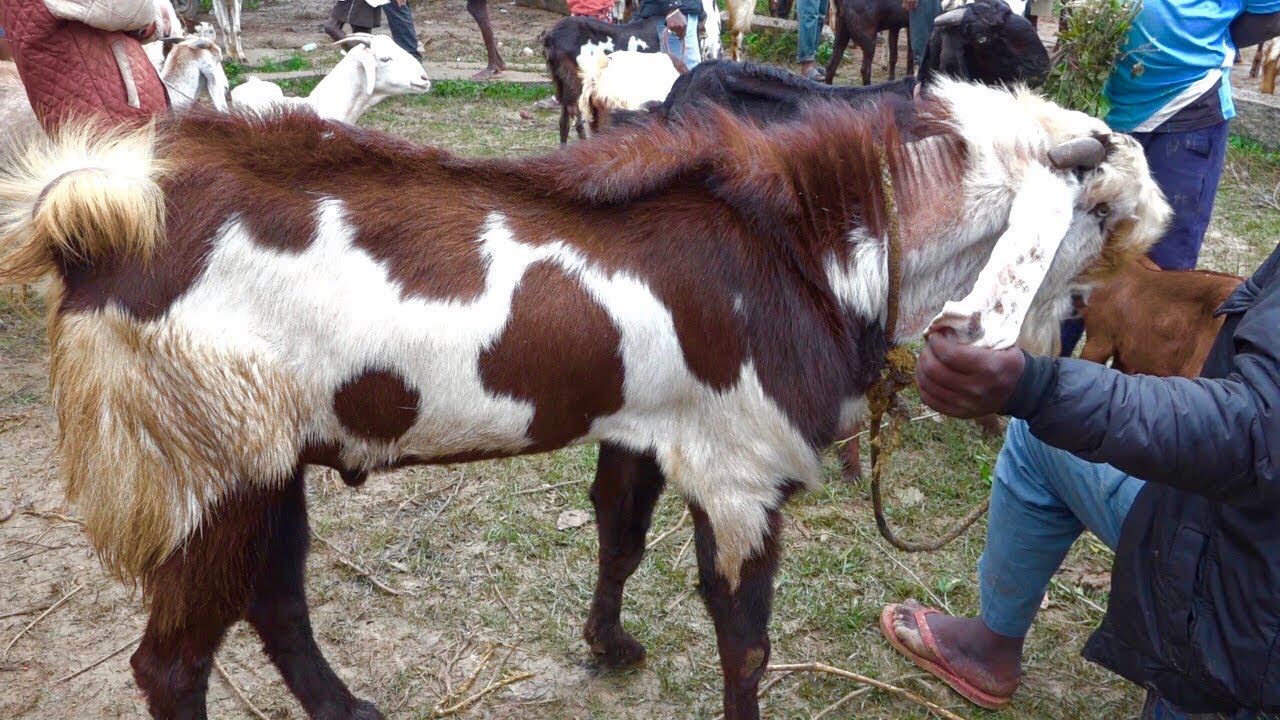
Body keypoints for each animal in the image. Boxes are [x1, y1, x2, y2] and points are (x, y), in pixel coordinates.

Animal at [0, 79, 1169, 720]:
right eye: (1101, 207)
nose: (1128, 300)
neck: (800, 239)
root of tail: (94, 226)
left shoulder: (650, 428)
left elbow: (617, 534)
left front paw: (607, 647)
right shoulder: (742, 471)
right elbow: (743, 633)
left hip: (264, 456)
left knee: (276, 601)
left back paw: (350, 707)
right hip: (200, 464)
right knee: (170, 663)